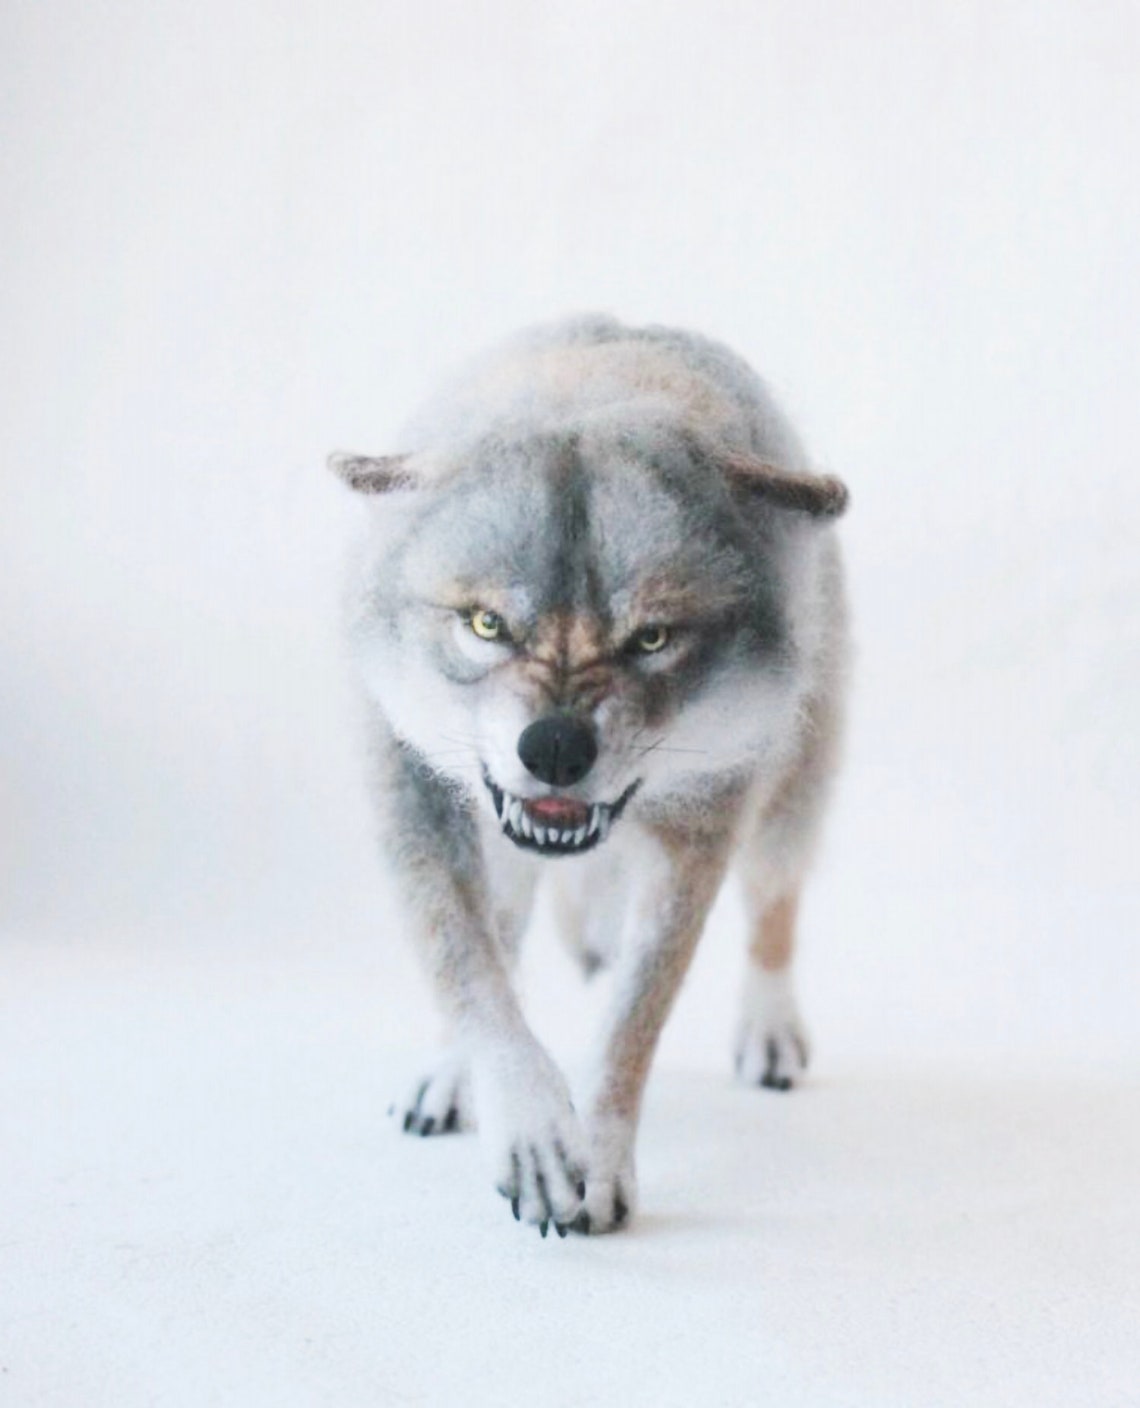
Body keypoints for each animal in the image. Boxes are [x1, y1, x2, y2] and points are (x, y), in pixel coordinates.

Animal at [331, 315, 848, 1236]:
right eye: (486, 624)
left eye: (651, 638)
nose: (556, 749)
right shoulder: (410, 801)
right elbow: (469, 972)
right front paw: (530, 1129)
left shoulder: (697, 839)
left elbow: (632, 1019)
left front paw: (600, 1158)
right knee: (497, 942)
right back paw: (450, 1078)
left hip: (791, 799)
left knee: (773, 911)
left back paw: (770, 1032)